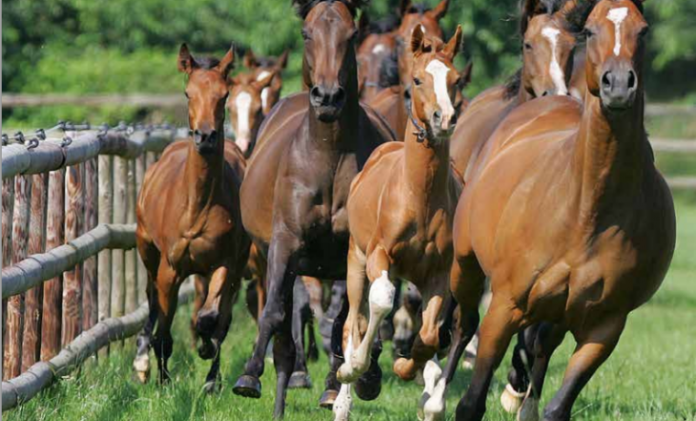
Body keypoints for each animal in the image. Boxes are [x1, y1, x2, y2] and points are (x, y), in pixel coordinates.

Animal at [132, 44, 250, 393]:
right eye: (188, 93)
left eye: (224, 95)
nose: (206, 137)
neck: (197, 206)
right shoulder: (170, 270)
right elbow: (164, 328)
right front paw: (162, 380)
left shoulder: (225, 264)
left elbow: (211, 317)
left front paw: (206, 354)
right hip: (147, 250)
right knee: (151, 301)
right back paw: (143, 361)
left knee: (220, 316)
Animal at [231, 0, 395, 417]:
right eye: (307, 33)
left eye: (352, 35)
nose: (328, 97)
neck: (329, 154)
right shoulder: (285, 244)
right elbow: (275, 313)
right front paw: (249, 375)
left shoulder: (353, 251)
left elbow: (346, 323)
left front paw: (348, 383)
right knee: (285, 331)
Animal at [335, 26, 466, 421]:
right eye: (418, 79)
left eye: (456, 79)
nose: (443, 118)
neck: (418, 197)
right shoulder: (380, 255)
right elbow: (380, 302)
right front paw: (357, 368)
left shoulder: (438, 273)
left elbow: (430, 335)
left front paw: (408, 370)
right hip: (356, 261)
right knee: (353, 321)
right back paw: (343, 395)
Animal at [450, 1, 675, 420]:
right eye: (590, 31)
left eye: (644, 30)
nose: (619, 85)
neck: (586, 212)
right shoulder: (505, 305)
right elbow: (471, 401)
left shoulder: (605, 325)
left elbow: (558, 404)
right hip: (466, 262)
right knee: (462, 323)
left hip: (559, 311)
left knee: (540, 345)